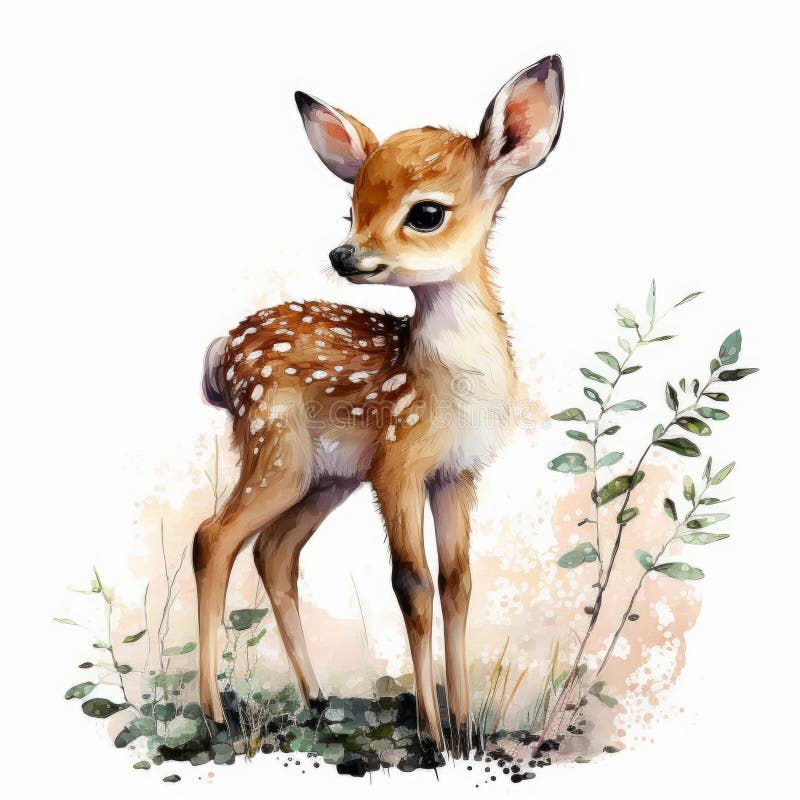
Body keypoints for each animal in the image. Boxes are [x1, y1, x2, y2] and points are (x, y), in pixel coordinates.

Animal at [194, 54, 564, 757]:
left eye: (426, 213)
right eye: (351, 210)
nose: (344, 254)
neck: (447, 386)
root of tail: (219, 357)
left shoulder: (457, 474)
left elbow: (458, 584)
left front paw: (466, 724)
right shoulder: (398, 462)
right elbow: (411, 585)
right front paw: (432, 734)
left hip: (326, 476)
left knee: (274, 552)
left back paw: (315, 699)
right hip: (275, 446)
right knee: (213, 538)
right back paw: (214, 715)